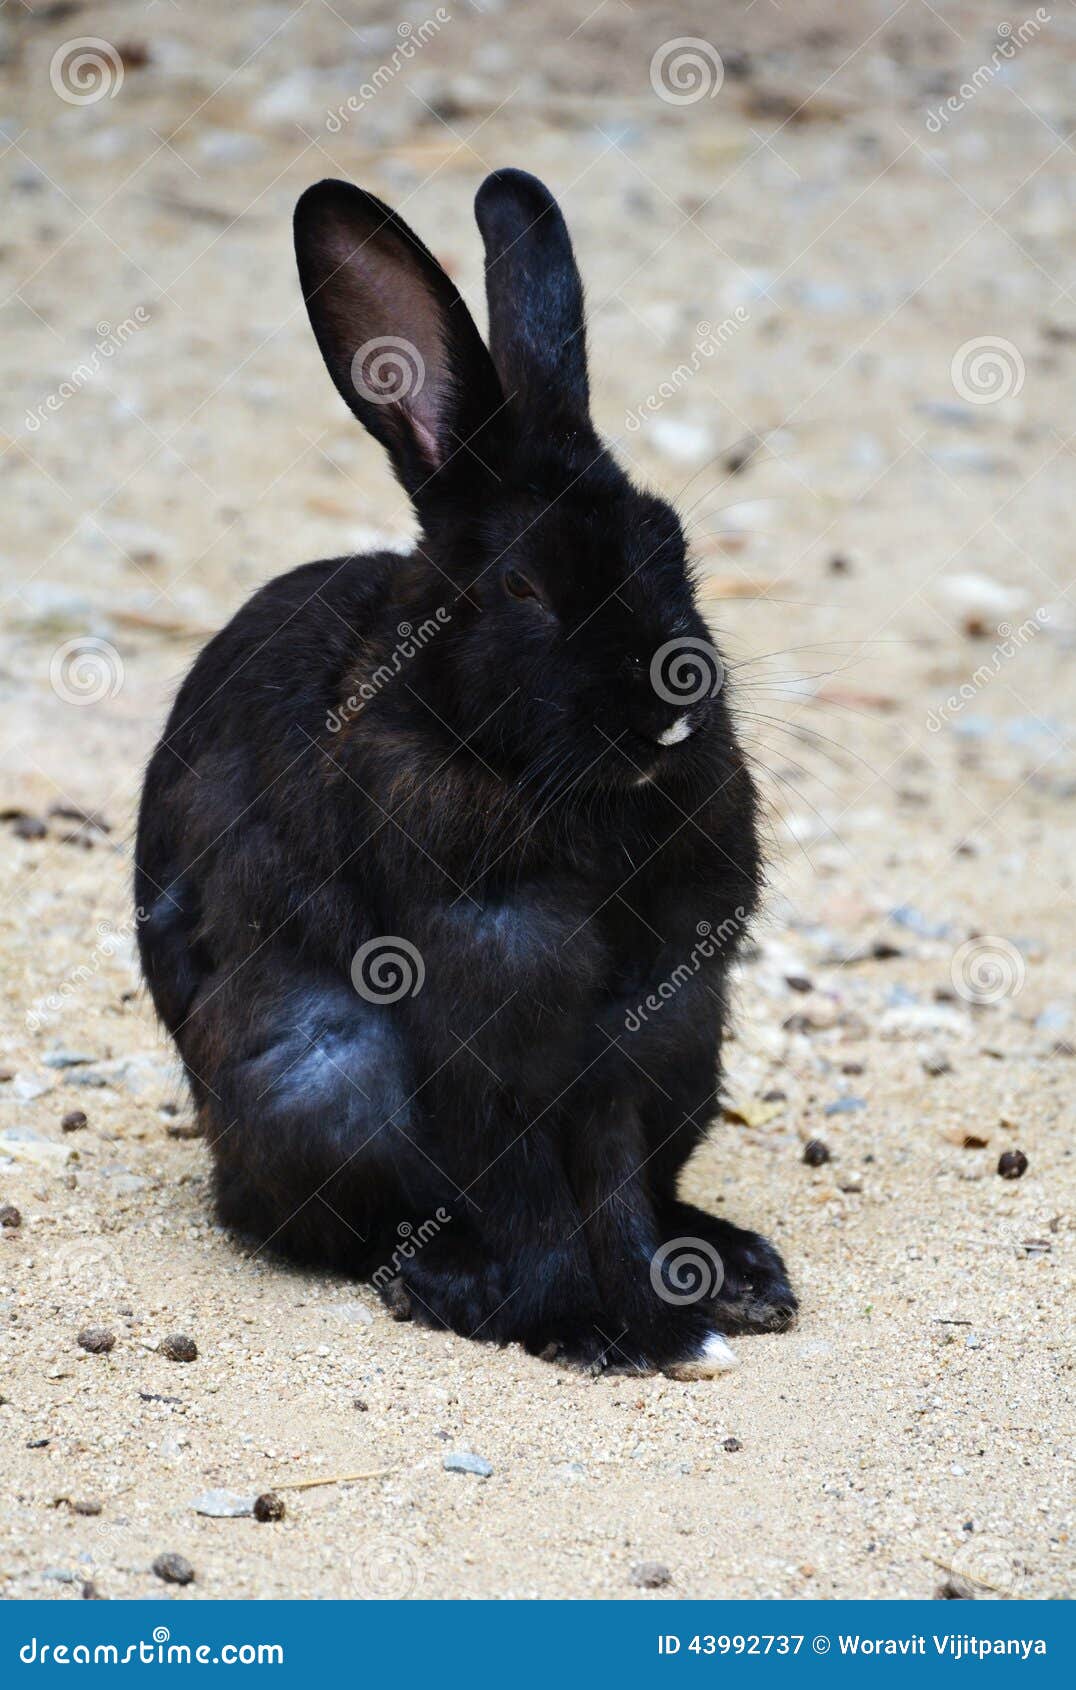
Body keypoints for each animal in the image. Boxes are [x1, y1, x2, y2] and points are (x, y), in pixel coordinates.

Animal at [135, 168, 796, 1377]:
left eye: (670, 545)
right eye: (524, 590)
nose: (674, 697)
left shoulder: (640, 1025)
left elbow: (617, 1186)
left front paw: (665, 1309)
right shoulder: (494, 1005)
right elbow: (532, 1192)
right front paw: (592, 1328)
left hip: (695, 1052)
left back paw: (739, 1268)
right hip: (317, 1077)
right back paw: (444, 1283)